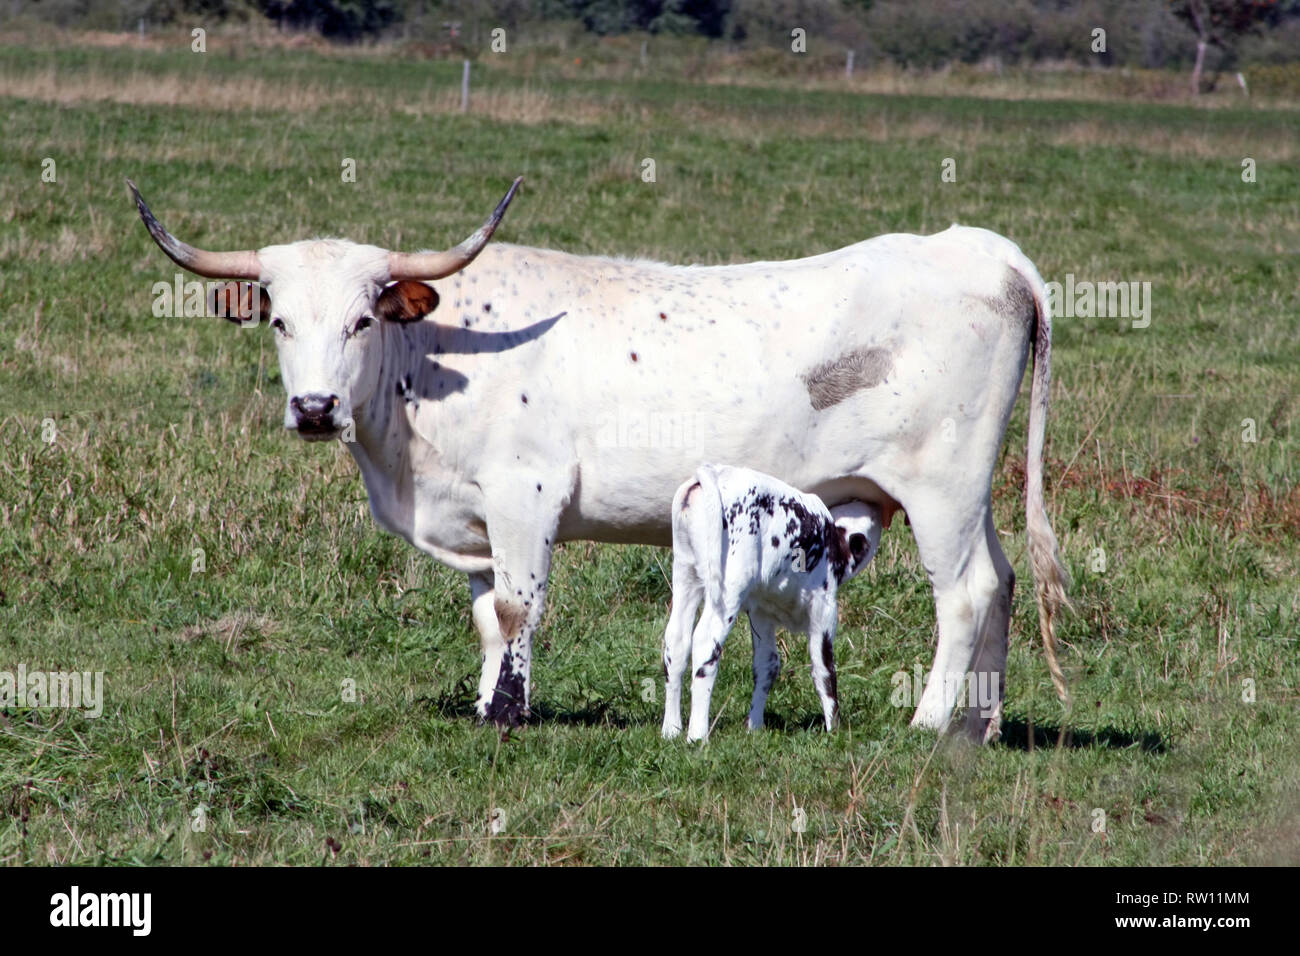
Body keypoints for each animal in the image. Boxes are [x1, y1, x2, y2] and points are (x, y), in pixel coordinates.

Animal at [662, 464, 882, 742]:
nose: (877, 506)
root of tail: (714, 472)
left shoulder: (761, 612)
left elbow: (767, 664)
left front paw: (754, 726)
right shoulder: (825, 610)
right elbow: (824, 668)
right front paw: (835, 731)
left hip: (686, 573)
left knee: (676, 642)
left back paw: (671, 730)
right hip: (729, 587)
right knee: (705, 643)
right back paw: (697, 735)